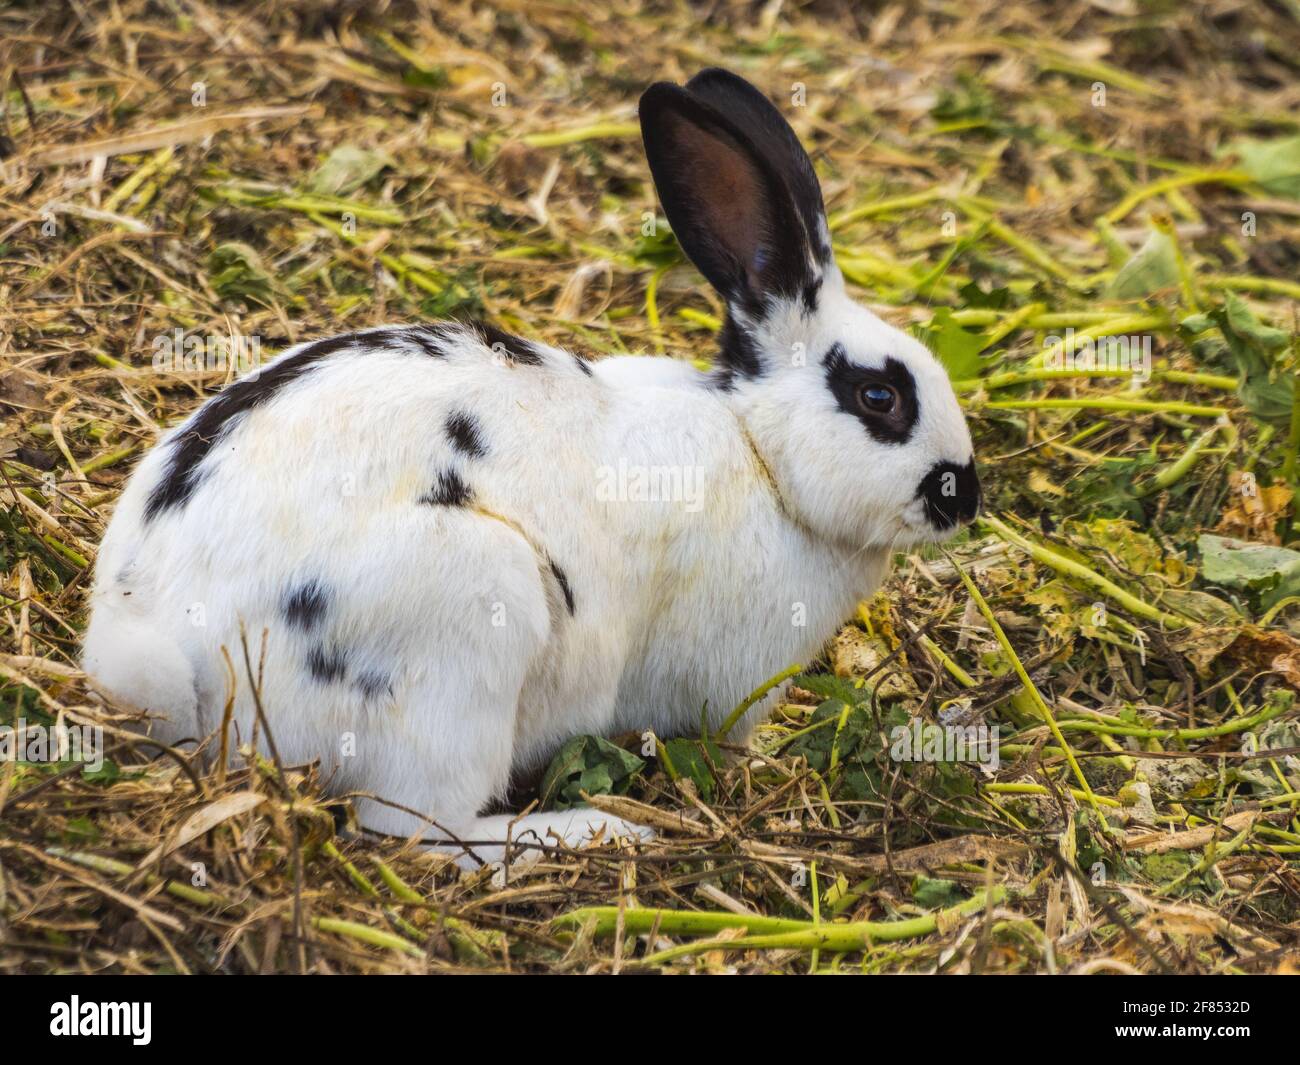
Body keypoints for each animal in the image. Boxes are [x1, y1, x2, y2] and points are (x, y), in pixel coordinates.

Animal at [82, 68, 980, 867]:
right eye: (879, 397)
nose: (963, 495)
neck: (760, 451)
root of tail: (166, 647)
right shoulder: (726, 689)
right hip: (467, 624)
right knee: (417, 828)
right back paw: (592, 830)